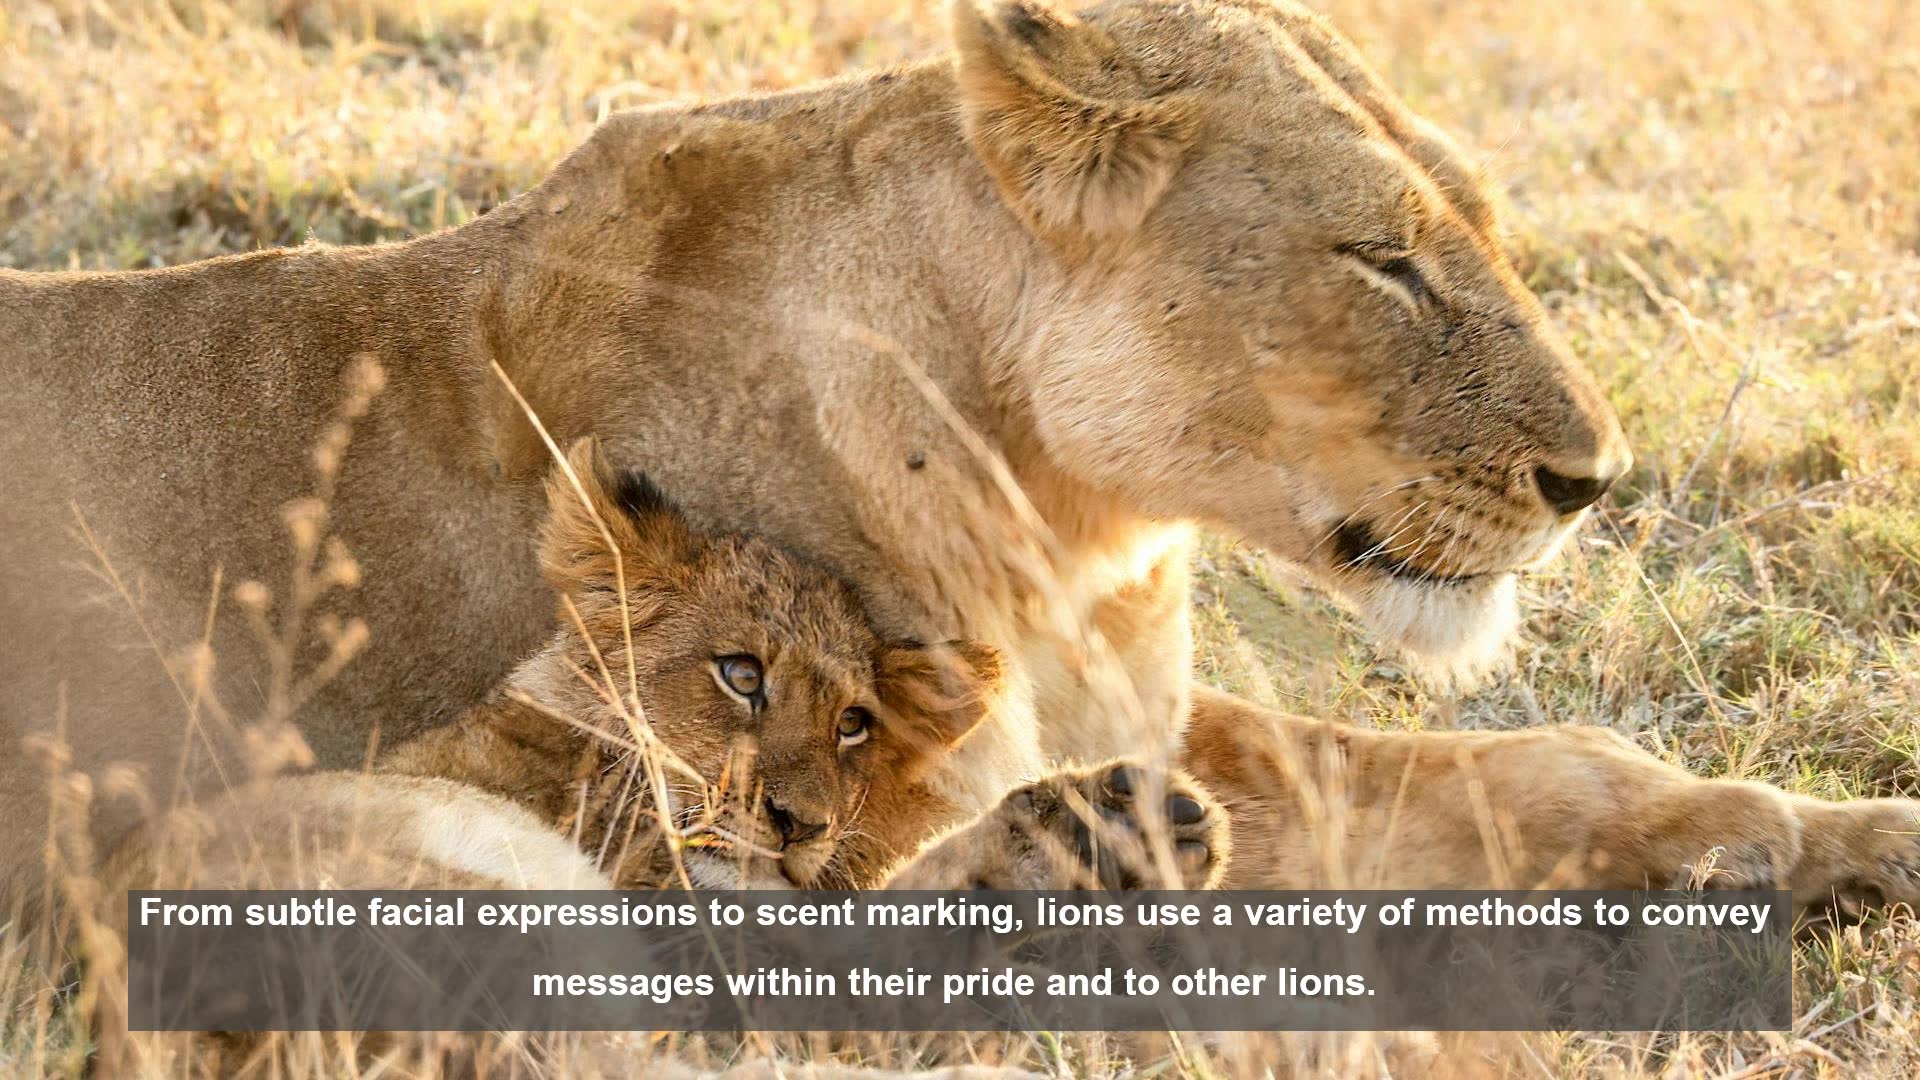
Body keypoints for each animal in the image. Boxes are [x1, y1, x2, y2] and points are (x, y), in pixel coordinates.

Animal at [5, 0, 1918, 914]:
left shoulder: (1147, 712)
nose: (1597, 480)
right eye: (1384, 261)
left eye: (1491, 228)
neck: (1075, 519)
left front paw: (1824, 839)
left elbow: (1519, 771)